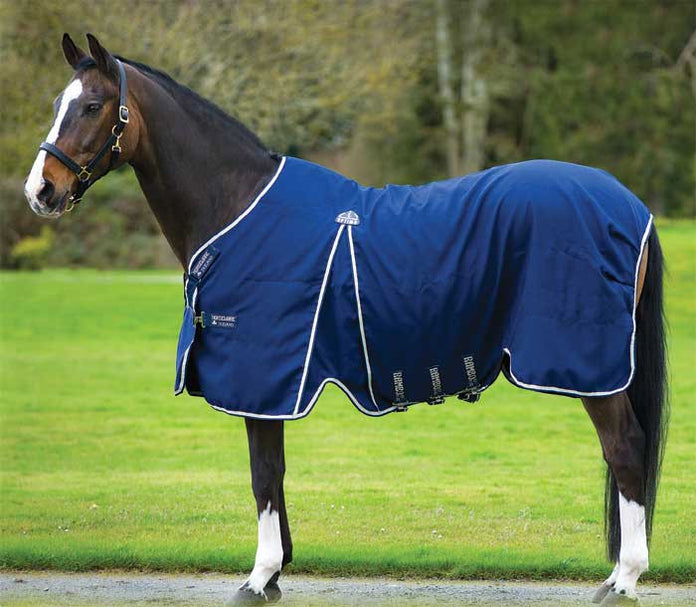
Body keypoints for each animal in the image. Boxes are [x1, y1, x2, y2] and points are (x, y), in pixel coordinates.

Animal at [24, 34, 668, 606]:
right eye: (56, 103)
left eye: (91, 106)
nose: (41, 191)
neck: (238, 205)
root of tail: (632, 206)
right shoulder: (271, 387)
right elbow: (277, 474)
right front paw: (276, 574)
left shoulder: (264, 378)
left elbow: (263, 474)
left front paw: (259, 579)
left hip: (591, 369)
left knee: (625, 449)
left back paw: (624, 581)